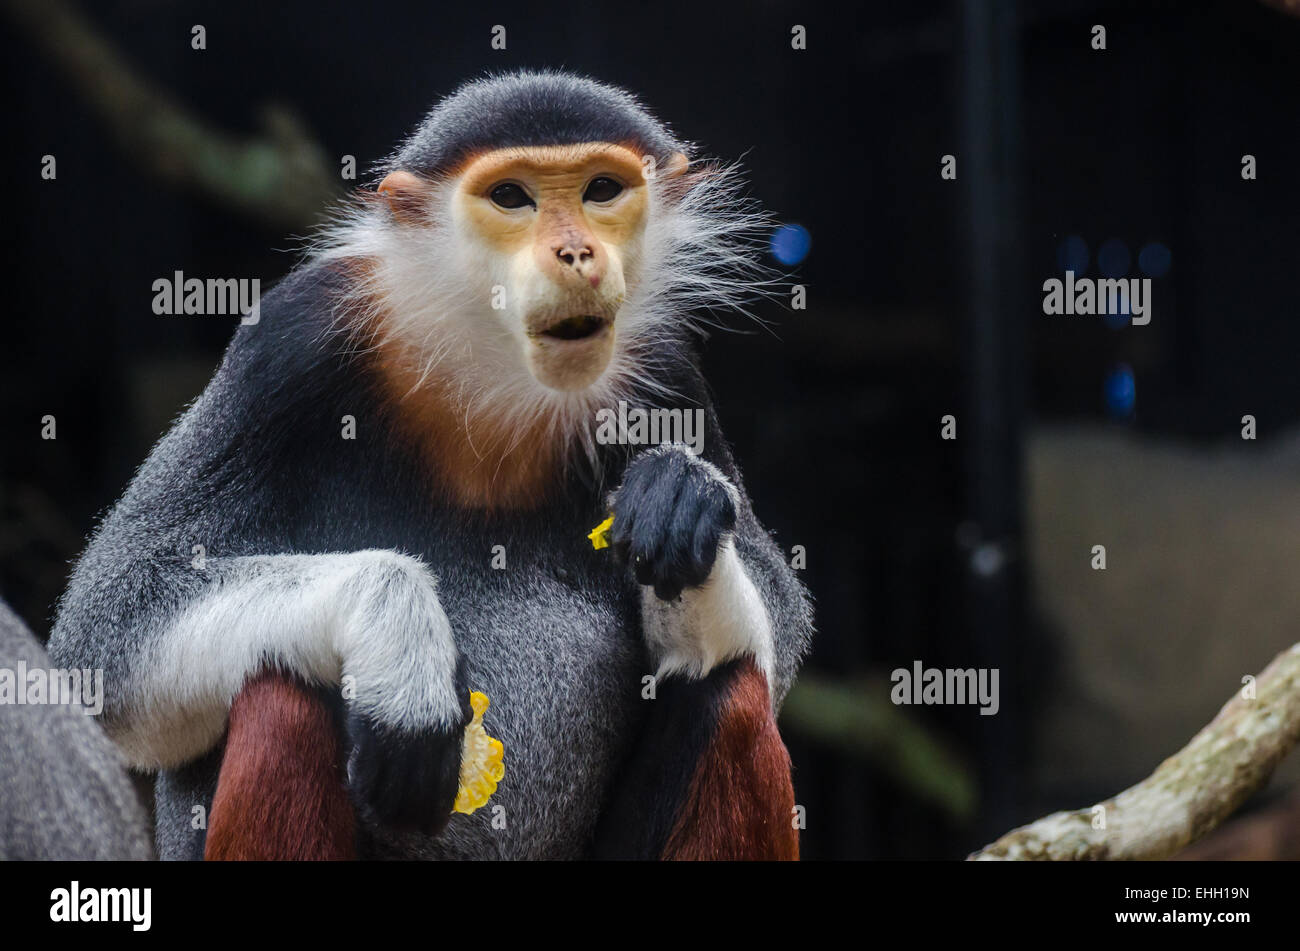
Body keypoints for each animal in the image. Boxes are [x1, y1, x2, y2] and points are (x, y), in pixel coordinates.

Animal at [48, 70, 814, 860]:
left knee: (732, 689)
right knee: (283, 692)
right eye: (511, 197)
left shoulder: (667, 373)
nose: (576, 253)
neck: (487, 380)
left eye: (602, 189)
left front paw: (683, 494)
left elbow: (780, 632)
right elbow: (107, 636)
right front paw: (401, 639)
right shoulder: (290, 339)